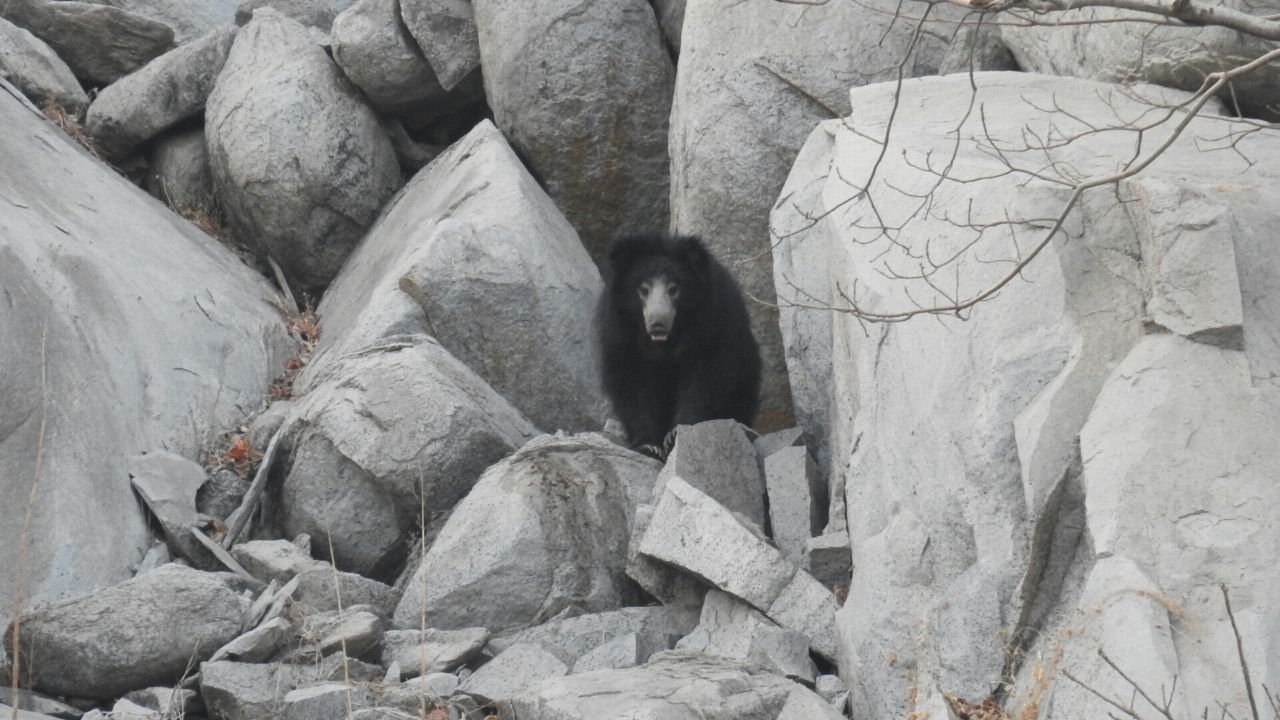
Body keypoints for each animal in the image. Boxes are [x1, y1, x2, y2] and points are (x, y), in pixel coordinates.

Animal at [595, 233, 761, 455]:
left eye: (674, 289)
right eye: (643, 289)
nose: (657, 323)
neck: (664, 340)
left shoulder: (713, 322)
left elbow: (705, 377)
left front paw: (675, 434)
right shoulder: (619, 333)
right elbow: (630, 384)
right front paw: (649, 445)